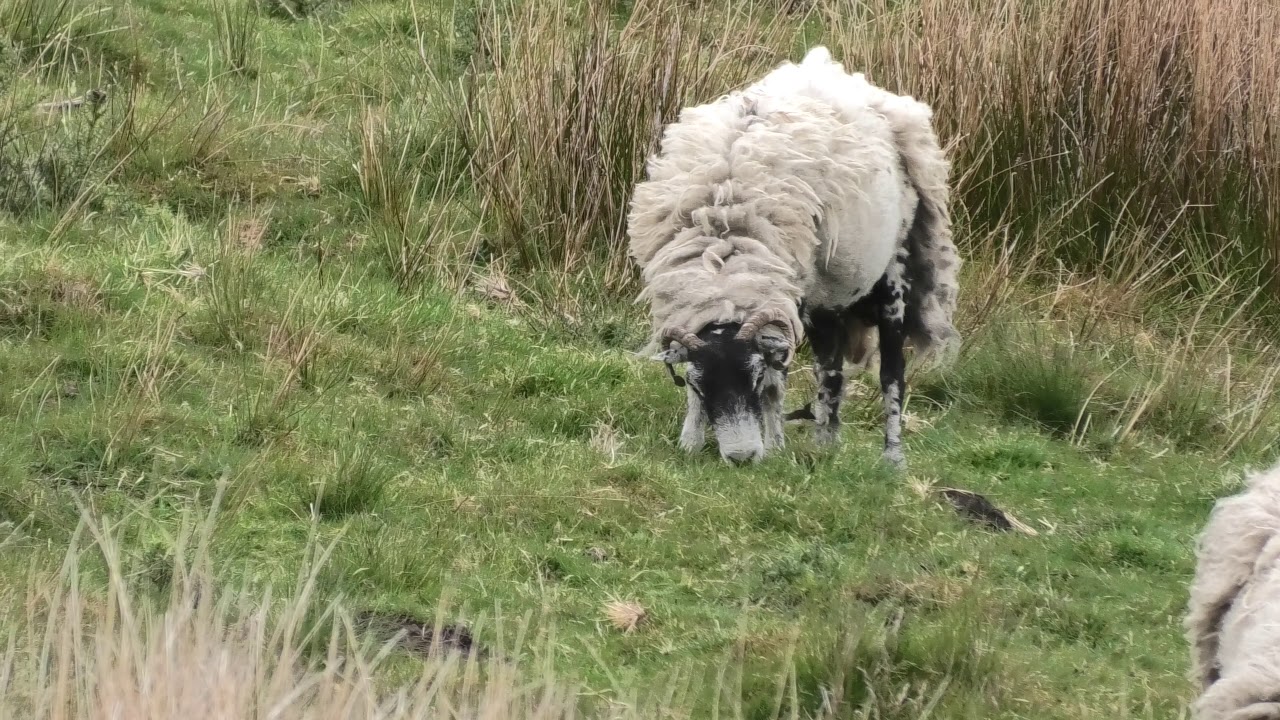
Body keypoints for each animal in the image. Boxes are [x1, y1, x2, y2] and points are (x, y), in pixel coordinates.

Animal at [627, 46, 960, 465]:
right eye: (698, 384)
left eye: (753, 375)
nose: (741, 457)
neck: (724, 261)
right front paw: (690, 441)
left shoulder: (784, 300)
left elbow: (776, 382)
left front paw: (773, 447)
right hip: (829, 293)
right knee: (831, 371)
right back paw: (826, 445)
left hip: (892, 273)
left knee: (892, 373)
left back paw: (892, 458)